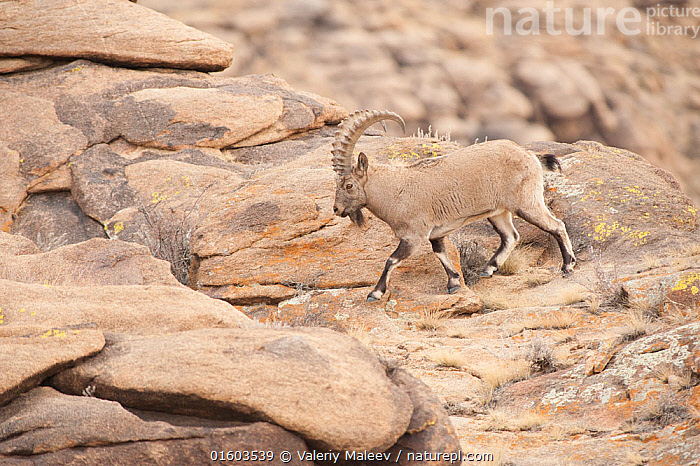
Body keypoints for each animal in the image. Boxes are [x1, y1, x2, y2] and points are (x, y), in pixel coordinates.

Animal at [332, 110, 576, 302]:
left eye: (349, 185)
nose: (336, 209)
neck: (394, 190)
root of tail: (529, 155)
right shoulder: (435, 233)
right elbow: (440, 253)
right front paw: (454, 283)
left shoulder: (414, 235)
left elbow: (391, 259)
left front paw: (375, 293)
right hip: (499, 212)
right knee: (510, 236)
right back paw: (488, 269)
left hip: (526, 203)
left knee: (556, 225)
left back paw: (567, 266)